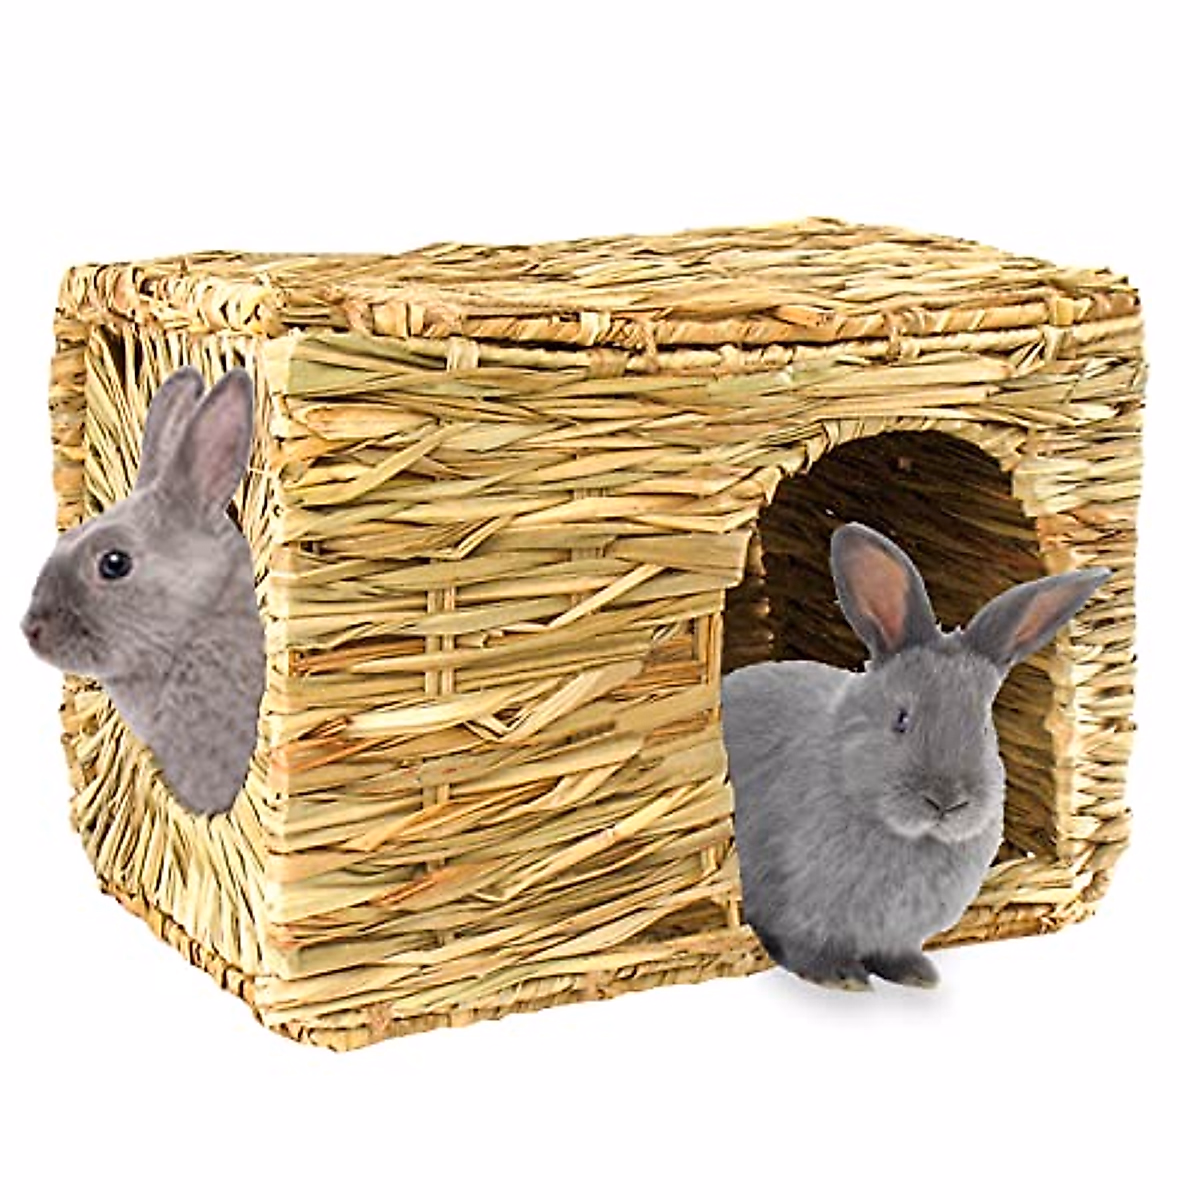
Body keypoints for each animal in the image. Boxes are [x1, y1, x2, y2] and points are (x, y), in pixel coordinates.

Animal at [721, 521, 1110, 990]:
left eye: (984, 727)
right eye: (901, 720)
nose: (946, 802)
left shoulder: (897, 934)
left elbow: (896, 953)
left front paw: (917, 975)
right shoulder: (799, 911)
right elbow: (807, 948)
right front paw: (842, 979)